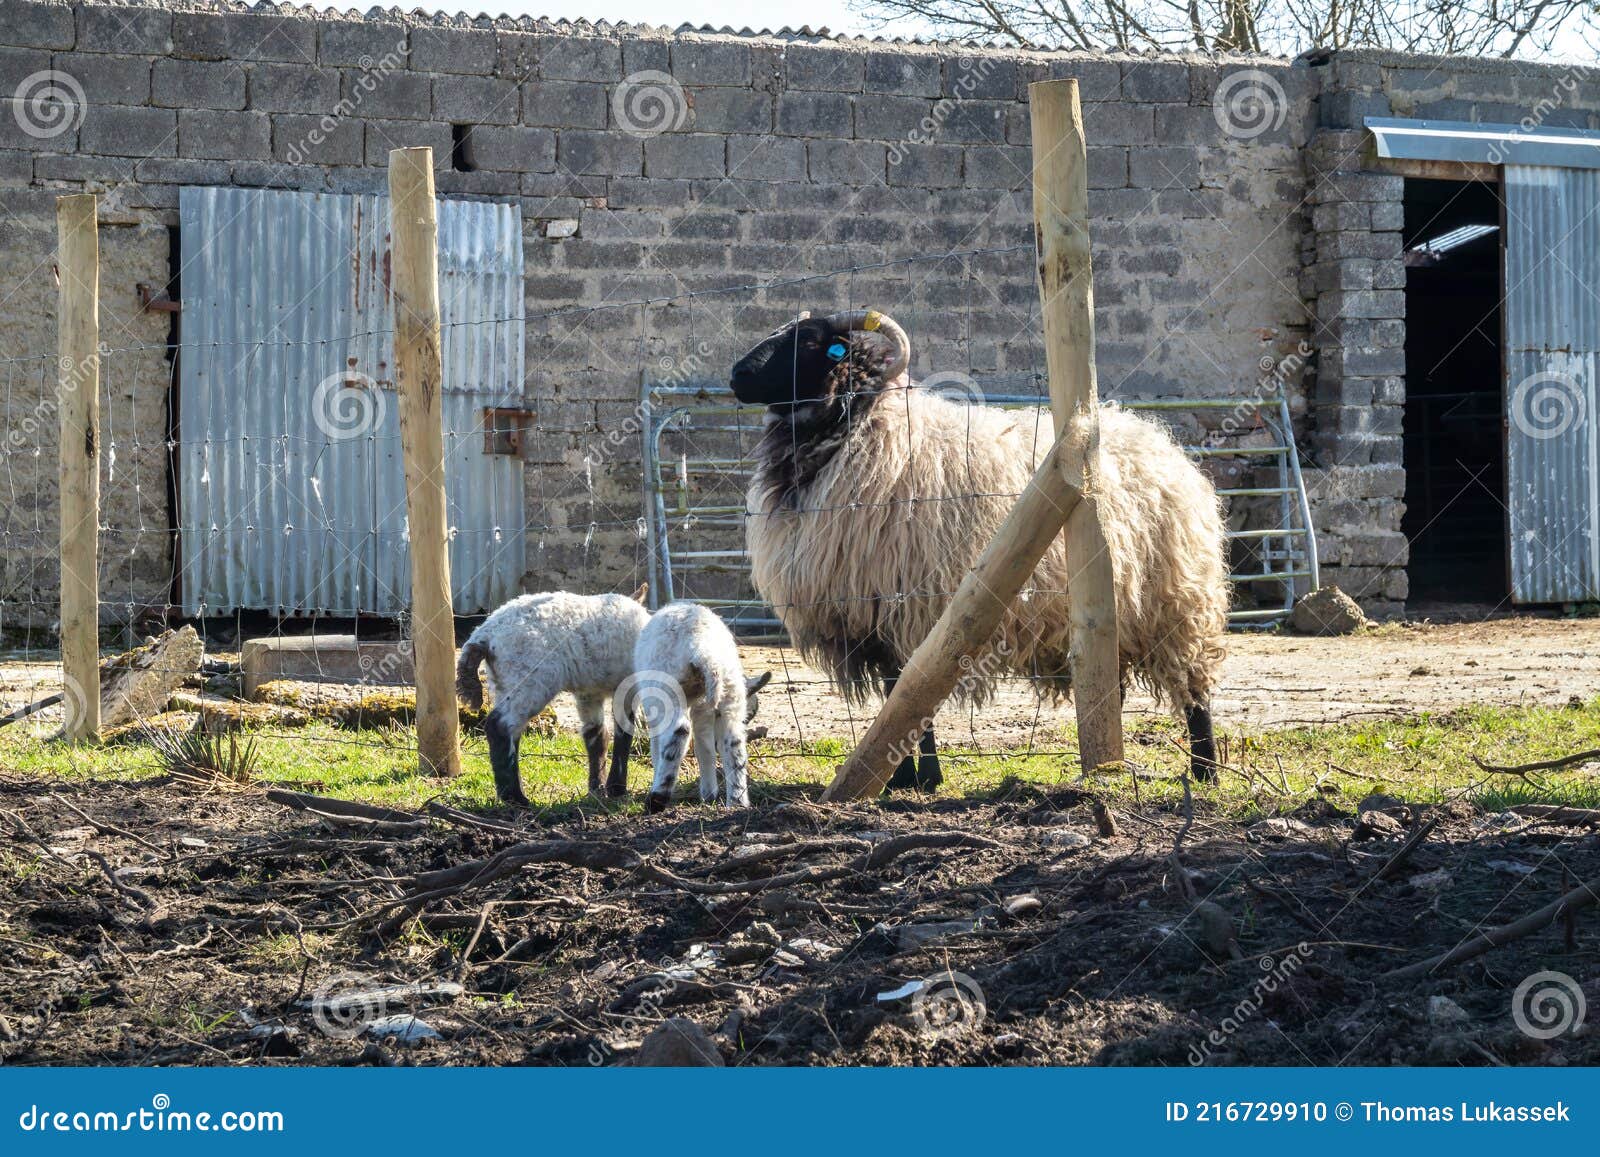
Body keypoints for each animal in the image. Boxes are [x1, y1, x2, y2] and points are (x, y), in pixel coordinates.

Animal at [456, 585, 650, 806]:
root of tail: (483, 635)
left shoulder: (588, 692)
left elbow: (597, 736)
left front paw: (597, 789)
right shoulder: (627, 684)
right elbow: (624, 733)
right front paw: (617, 788)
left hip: (505, 682)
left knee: (512, 729)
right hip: (529, 678)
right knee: (500, 725)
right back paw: (515, 797)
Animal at [630, 601, 772, 813]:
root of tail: (703, 651)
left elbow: (657, 746)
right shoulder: (704, 708)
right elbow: (705, 747)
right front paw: (709, 794)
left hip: (667, 689)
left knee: (678, 732)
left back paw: (657, 798)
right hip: (729, 691)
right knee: (733, 743)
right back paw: (737, 801)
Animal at [728, 308, 1228, 789]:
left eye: (809, 341)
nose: (736, 375)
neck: (861, 432)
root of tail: (1162, 445)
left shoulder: (909, 609)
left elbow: (910, 694)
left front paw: (923, 779)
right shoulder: (873, 615)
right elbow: (894, 692)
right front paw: (896, 779)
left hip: (1176, 602)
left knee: (1196, 690)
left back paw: (1205, 772)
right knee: (1110, 683)